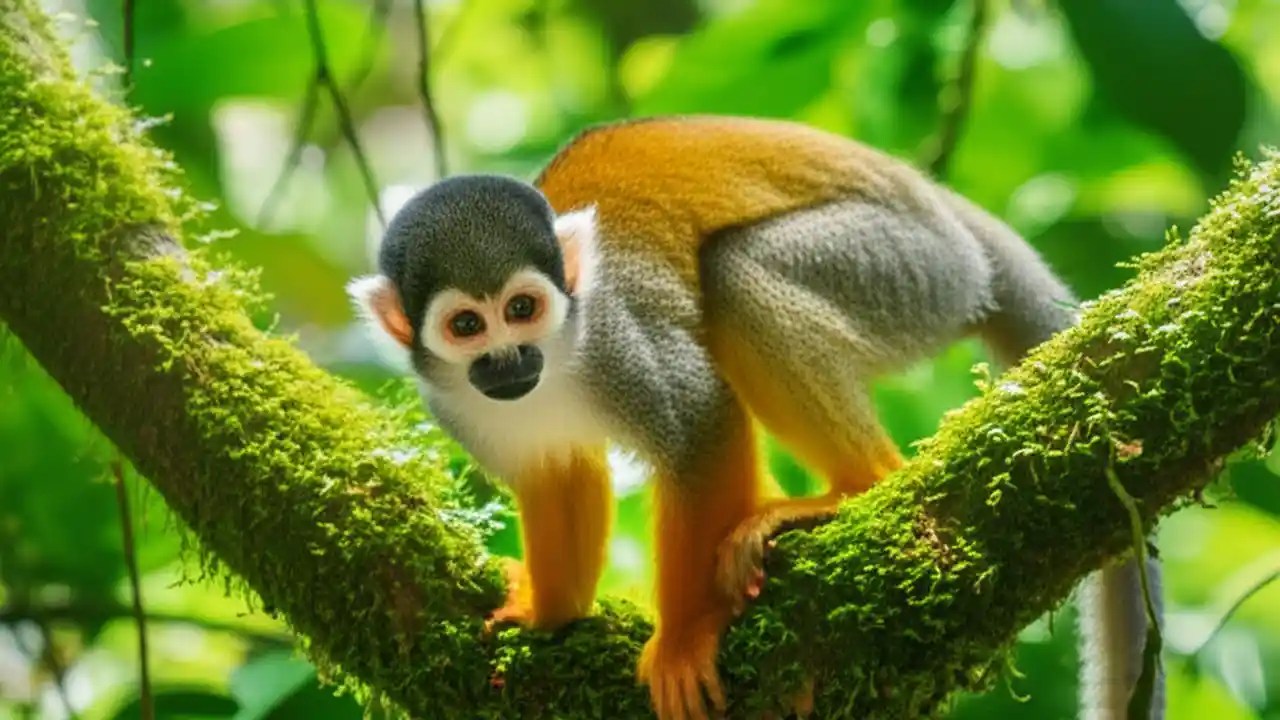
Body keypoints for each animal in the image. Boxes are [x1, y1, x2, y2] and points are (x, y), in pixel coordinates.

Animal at [346, 114, 1162, 720]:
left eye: (520, 309)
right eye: (466, 327)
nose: (509, 360)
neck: (563, 352)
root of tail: (944, 212)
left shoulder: (616, 338)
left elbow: (700, 424)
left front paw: (683, 639)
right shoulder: (454, 403)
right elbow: (559, 473)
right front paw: (549, 610)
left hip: (907, 268)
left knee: (735, 271)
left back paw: (851, 487)